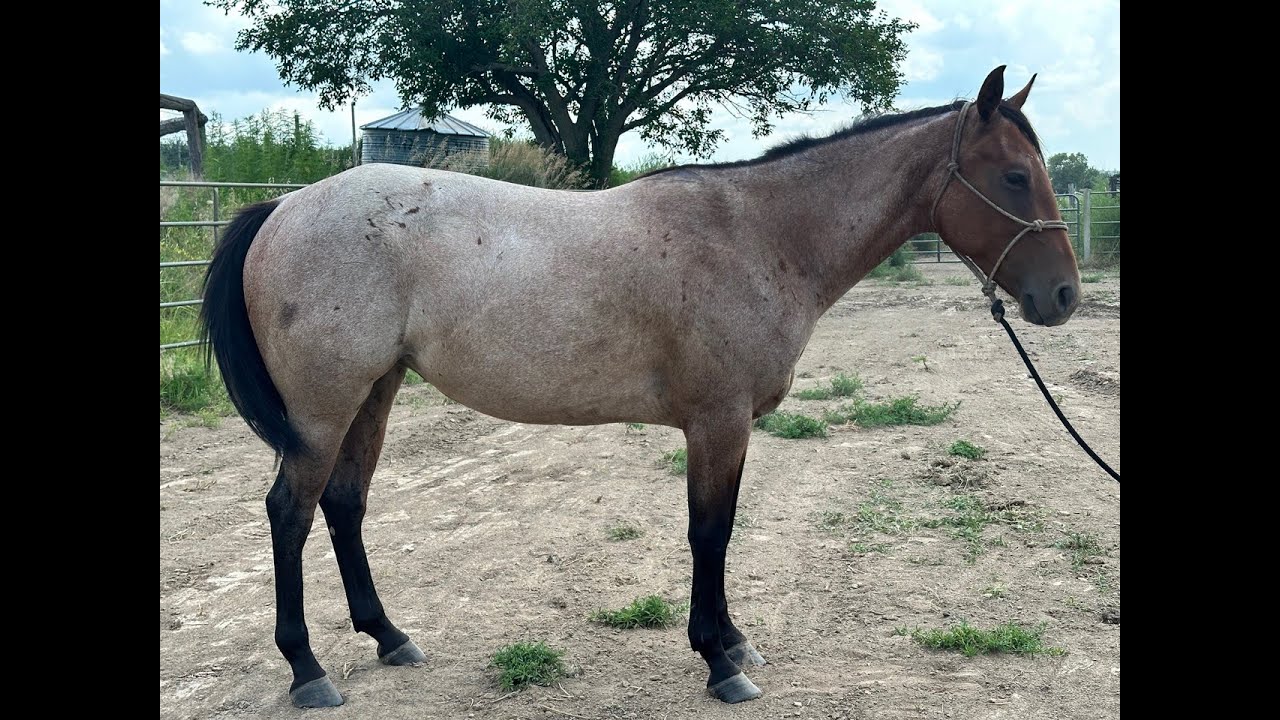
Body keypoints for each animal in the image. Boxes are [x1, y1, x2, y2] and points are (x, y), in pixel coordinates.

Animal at [199, 65, 1080, 708]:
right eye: (1012, 176)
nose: (1065, 297)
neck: (758, 234)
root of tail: (283, 208)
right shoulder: (718, 422)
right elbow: (709, 534)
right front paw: (720, 663)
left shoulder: (731, 426)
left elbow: (722, 529)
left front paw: (733, 640)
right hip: (324, 408)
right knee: (290, 513)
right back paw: (309, 671)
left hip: (374, 391)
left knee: (344, 505)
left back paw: (389, 637)